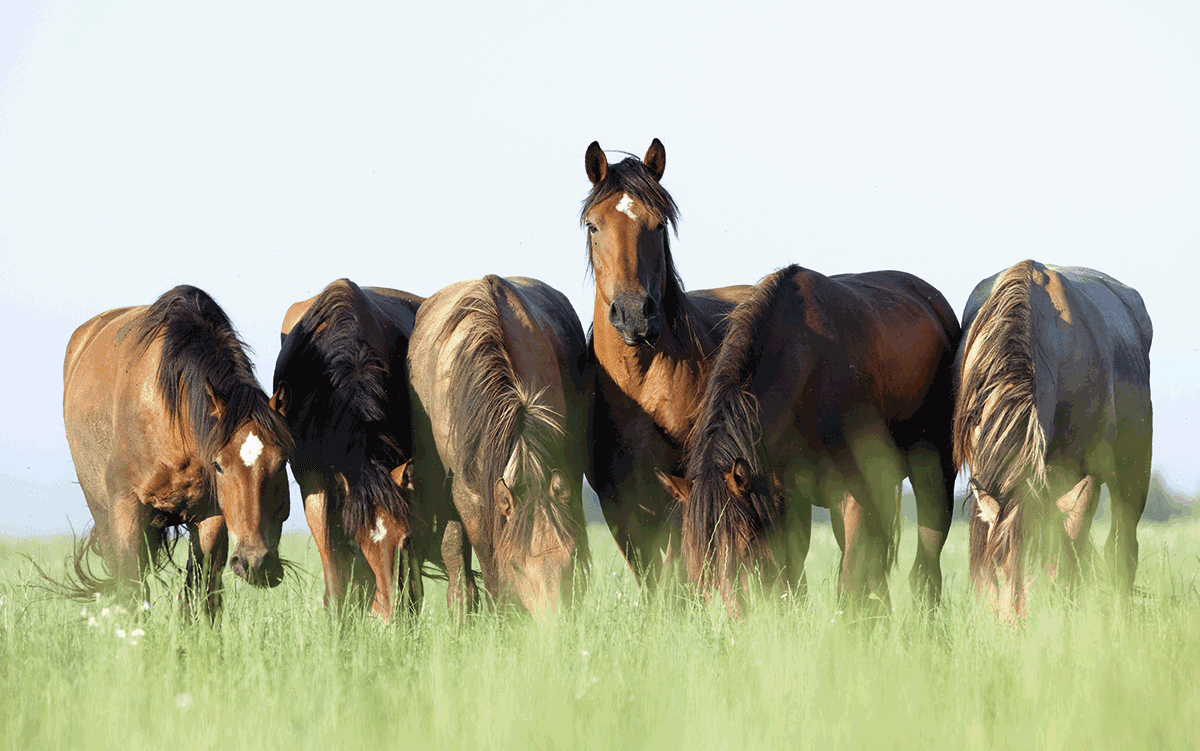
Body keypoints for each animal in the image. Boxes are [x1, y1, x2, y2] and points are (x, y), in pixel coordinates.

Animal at [62, 285, 293, 617]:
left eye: (283, 461)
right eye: (219, 465)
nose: (256, 562)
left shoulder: (211, 515)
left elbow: (201, 593)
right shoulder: (126, 506)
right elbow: (132, 588)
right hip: (103, 513)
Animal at [657, 264, 960, 618]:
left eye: (744, 547)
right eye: (696, 560)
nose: (732, 621)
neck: (806, 369)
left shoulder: (854, 495)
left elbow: (850, 583)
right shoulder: (784, 498)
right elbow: (792, 577)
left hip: (934, 475)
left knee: (926, 563)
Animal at [953, 260, 1153, 621]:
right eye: (1001, 568)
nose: (1018, 626)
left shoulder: (1085, 477)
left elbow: (1070, 546)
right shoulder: (983, 470)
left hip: (1133, 473)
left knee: (1121, 549)